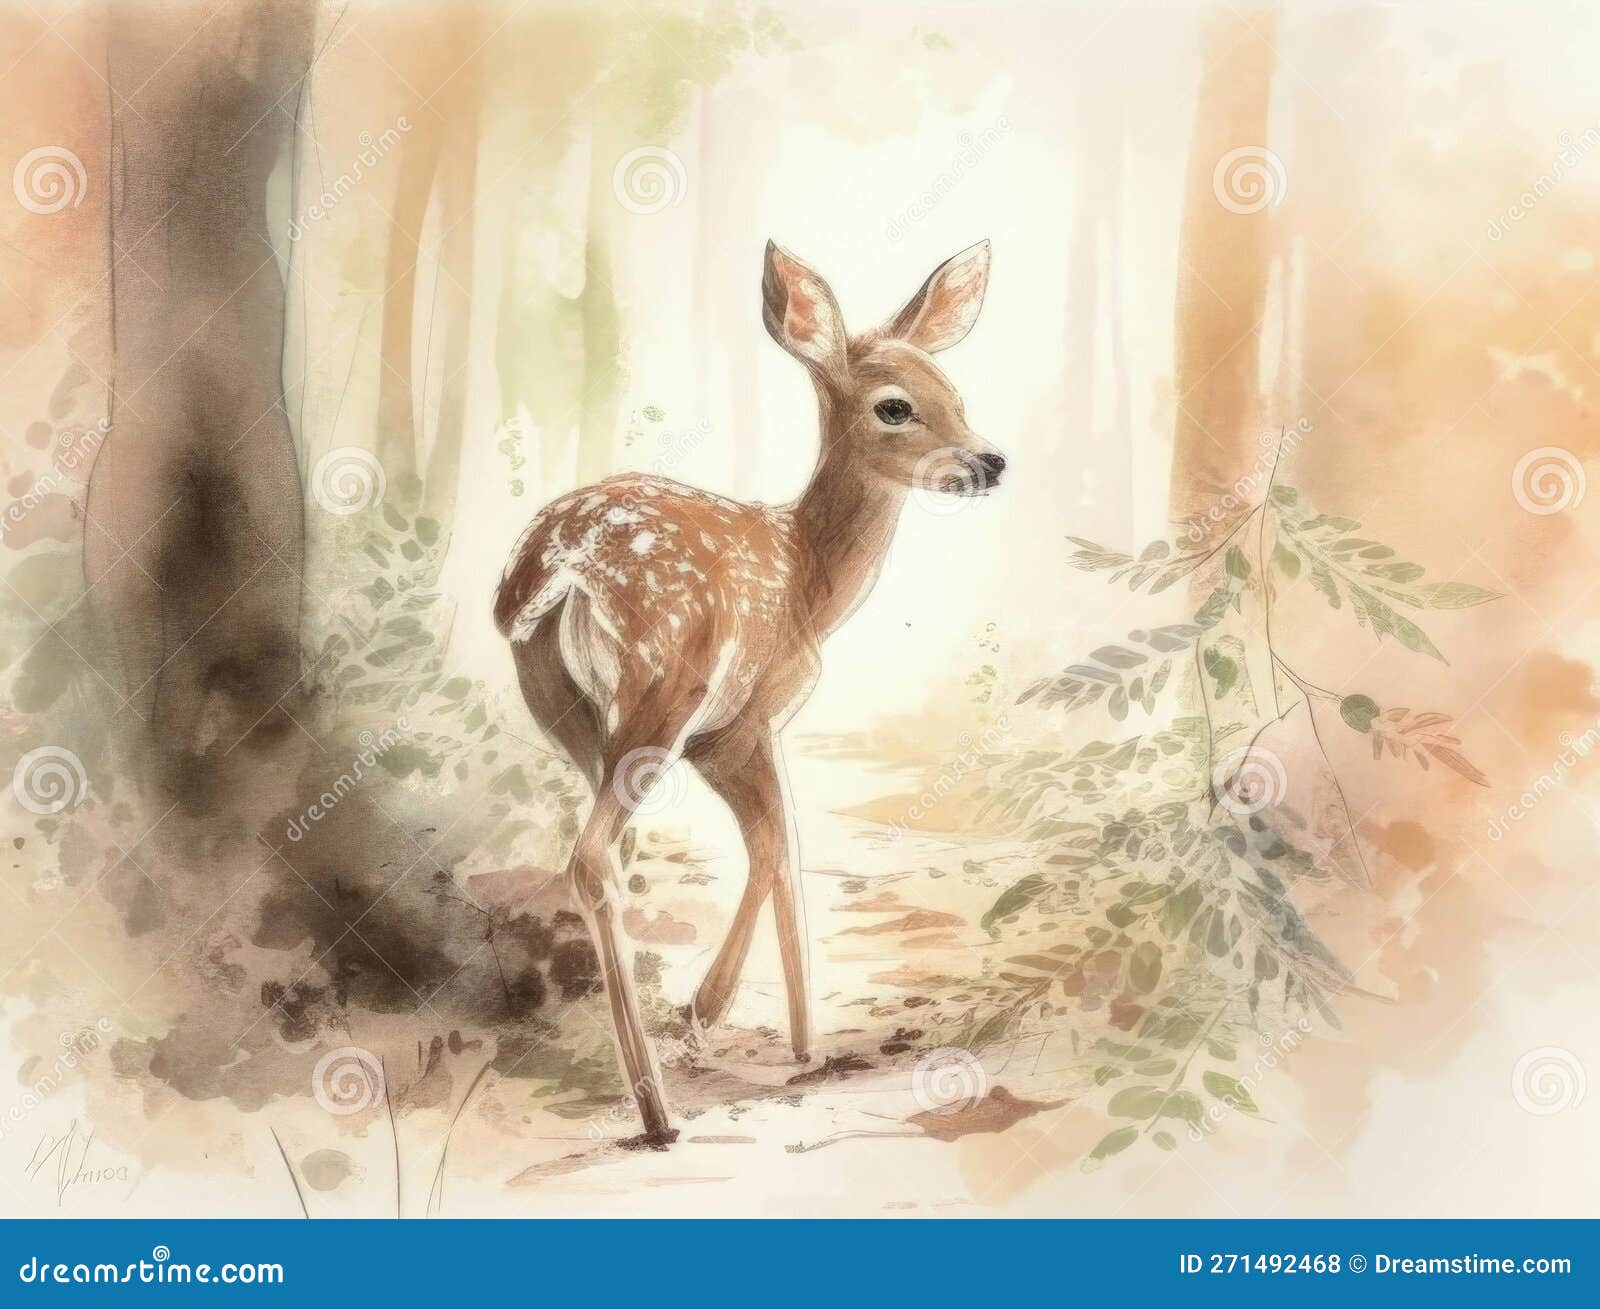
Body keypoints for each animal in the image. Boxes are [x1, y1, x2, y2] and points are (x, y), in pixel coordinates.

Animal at [493, 240, 1003, 1146]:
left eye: (957, 394)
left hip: (563, 704)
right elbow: (778, 844)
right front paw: (767, 1030)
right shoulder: (748, 718)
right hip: (666, 684)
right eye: (896, 407)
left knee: (606, 851)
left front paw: (745, 1023)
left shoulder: (715, 737)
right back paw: (657, 1109)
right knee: (594, 854)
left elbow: (773, 843)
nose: (989, 462)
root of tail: (560, 570)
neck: (808, 580)